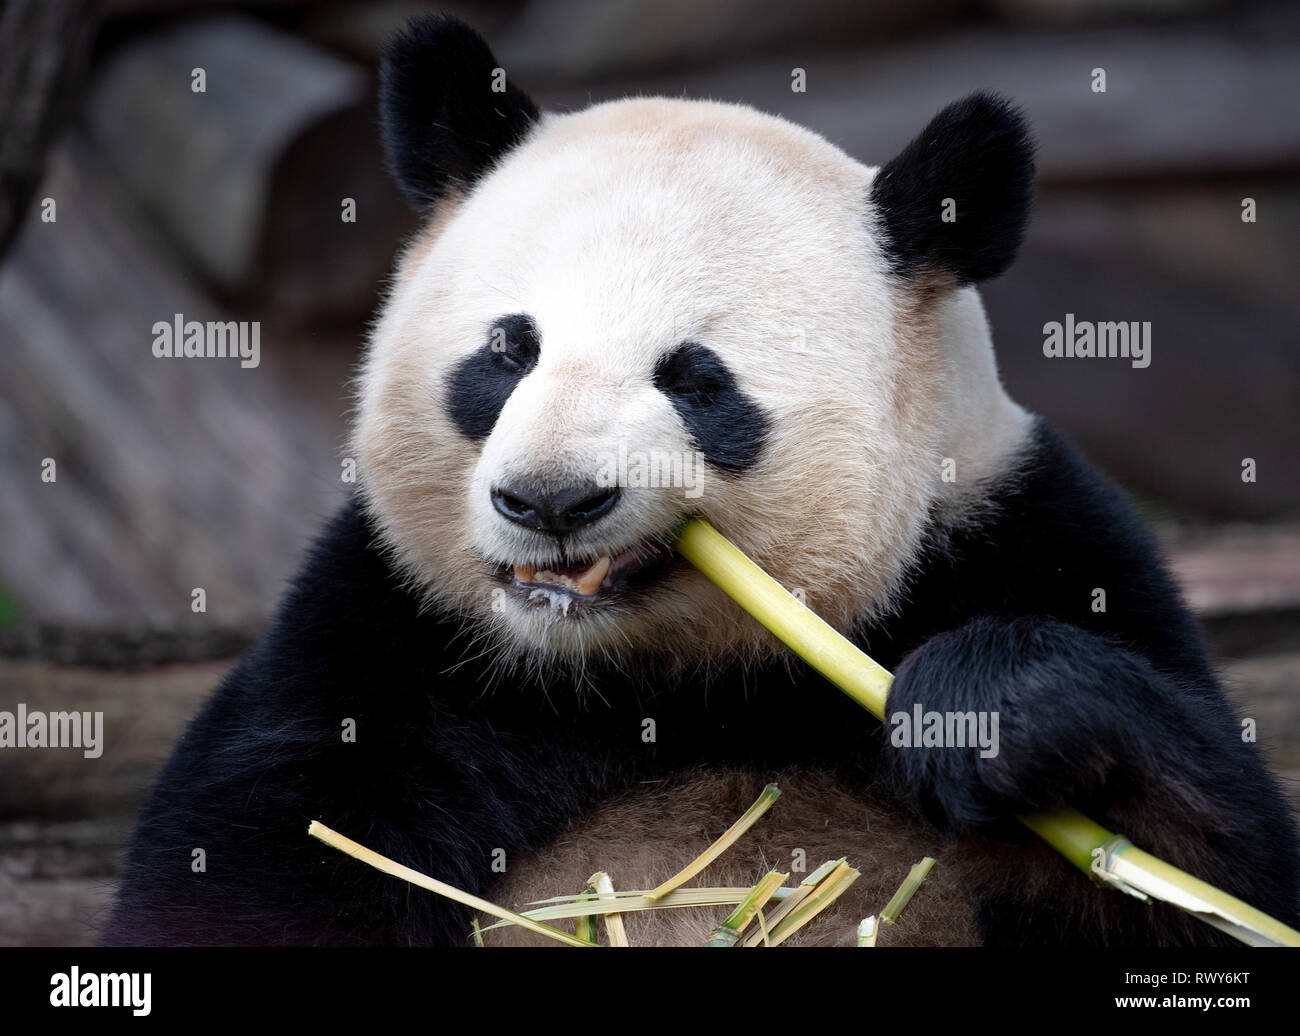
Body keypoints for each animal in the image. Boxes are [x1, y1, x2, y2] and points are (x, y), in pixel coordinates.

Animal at [104, 16, 1299, 947]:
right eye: (509, 350)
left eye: (694, 378)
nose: (549, 501)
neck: (658, 678)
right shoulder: (389, 635)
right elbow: (255, 855)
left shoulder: (1017, 534)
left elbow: (1210, 877)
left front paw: (984, 712)